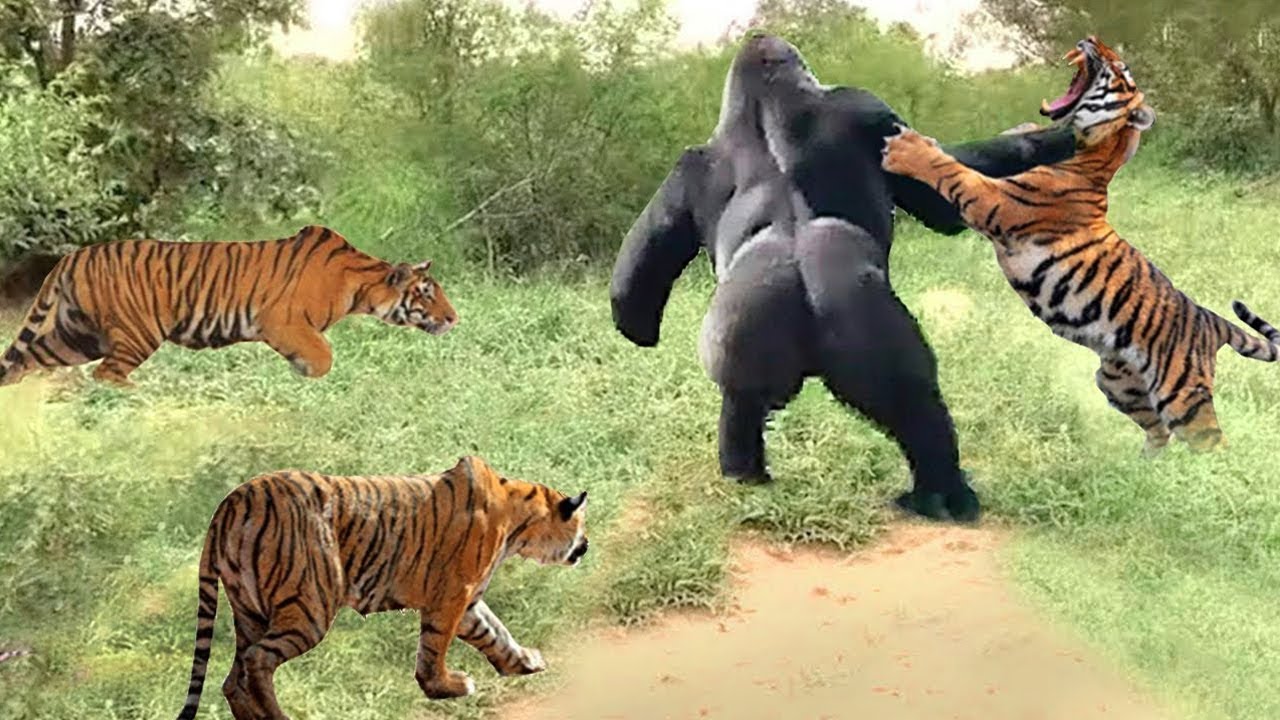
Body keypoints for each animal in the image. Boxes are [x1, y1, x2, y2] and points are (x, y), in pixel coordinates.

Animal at [0, 225, 458, 388]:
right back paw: (137, 395)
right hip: (137, 332)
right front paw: (305, 372)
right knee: (106, 374)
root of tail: (73, 257)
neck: (361, 283)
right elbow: (324, 356)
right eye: (426, 293)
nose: (454, 318)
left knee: (30, 357)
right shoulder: (282, 320)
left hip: (76, 335)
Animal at [175, 455, 590, 720]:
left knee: (233, 680)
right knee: (257, 661)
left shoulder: (469, 602)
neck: (519, 522)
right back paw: (280, 717)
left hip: (249, 611)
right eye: (581, 525)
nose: (586, 545)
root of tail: (231, 503)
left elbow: (495, 632)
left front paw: (524, 662)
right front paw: (446, 687)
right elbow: (437, 644)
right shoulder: (453, 594)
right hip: (309, 606)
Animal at [881, 36, 1280, 455]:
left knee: (1210, 441)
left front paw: (909, 148)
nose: (1090, 40)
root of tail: (1209, 320)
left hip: (1182, 398)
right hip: (1119, 382)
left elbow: (955, 172)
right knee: (1158, 431)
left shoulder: (995, 204)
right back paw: (1143, 464)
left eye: (1121, 69)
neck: (1097, 153)